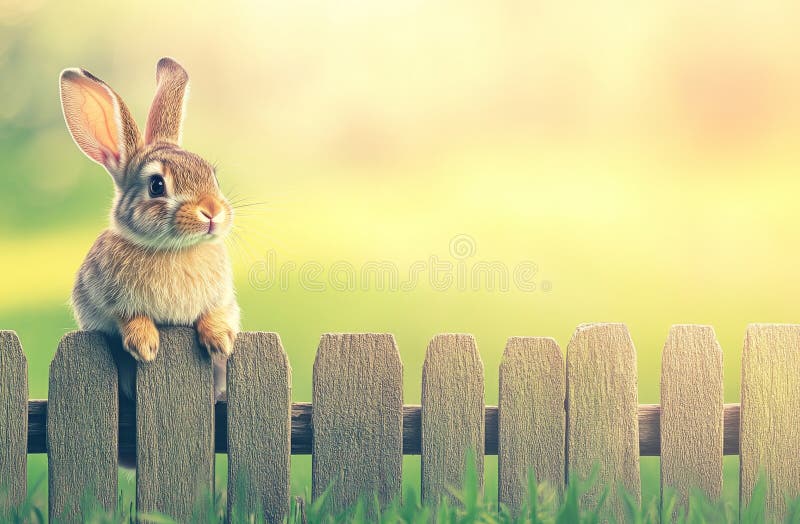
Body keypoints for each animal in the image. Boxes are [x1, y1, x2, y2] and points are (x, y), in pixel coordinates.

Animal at [59, 57, 239, 403]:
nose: (212, 212)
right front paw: (145, 346)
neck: (173, 249)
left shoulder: (223, 300)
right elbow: (128, 317)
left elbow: (215, 313)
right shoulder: (103, 301)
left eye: (212, 176)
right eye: (157, 185)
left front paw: (220, 339)